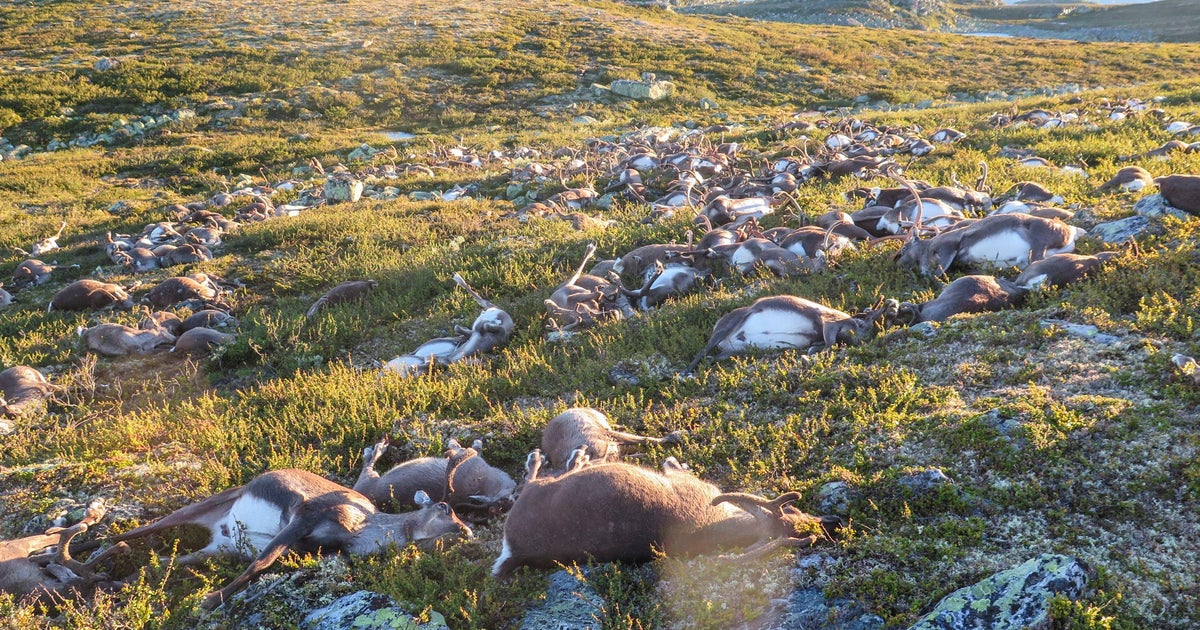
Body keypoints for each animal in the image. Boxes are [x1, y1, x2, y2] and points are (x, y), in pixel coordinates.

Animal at [112, 468, 473, 610]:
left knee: (162, 561)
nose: (467, 532)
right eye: (445, 508)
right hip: (203, 506)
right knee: (132, 533)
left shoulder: (313, 544)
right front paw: (211, 599)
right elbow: (261, 562)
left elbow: (265, 561)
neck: (362, 528)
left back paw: (118, 581)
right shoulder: (303, 516)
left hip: (218, 548)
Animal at [492, 453, 841, 577]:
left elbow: (673, 465)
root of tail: (515, 550)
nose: (833, 524)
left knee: (532, 479)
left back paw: (566, 458)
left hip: (537, 493)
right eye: (794, 508)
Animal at [684, 296, 898, 375]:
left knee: (713, 356)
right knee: (703, 350)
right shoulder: (828, 323)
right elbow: (828, 344)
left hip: (734, 351)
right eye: (862, 323)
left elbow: (820, 346)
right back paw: (685, 373)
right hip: (726, 328)